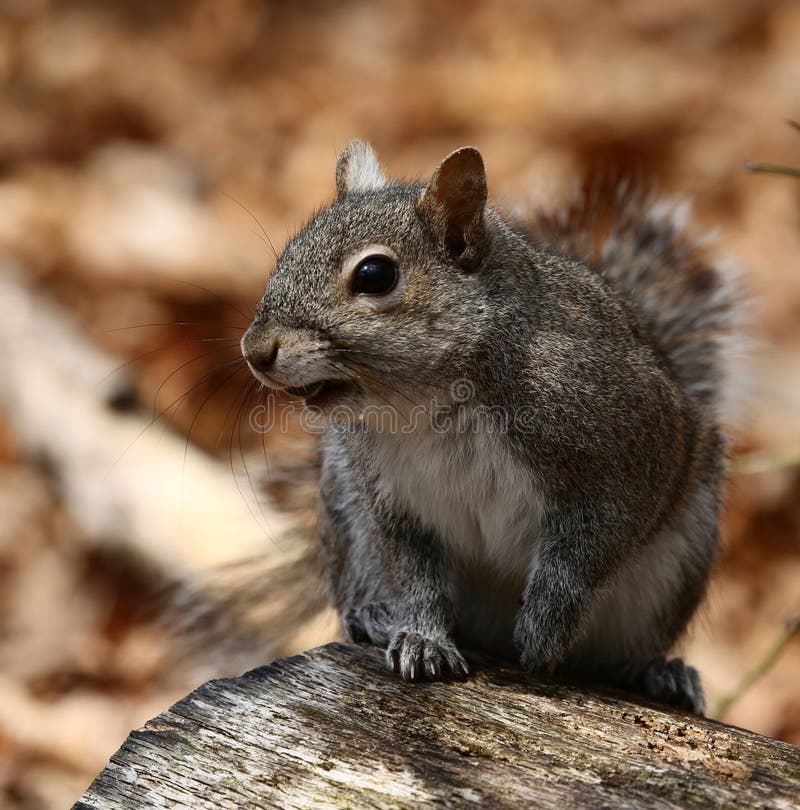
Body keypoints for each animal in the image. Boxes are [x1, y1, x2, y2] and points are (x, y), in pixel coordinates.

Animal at [240, 141, 747, 715]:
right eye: (287, 252)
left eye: (374, 275)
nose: (255, 351)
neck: (430, 398)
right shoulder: (389, 497)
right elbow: (414, 573)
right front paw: (423, 638)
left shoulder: (630, 452)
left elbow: (588, 548)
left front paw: (544, 629)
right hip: (346, 513)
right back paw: (373, 617)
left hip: (677, 560)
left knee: (620, 657)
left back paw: (657, 674)